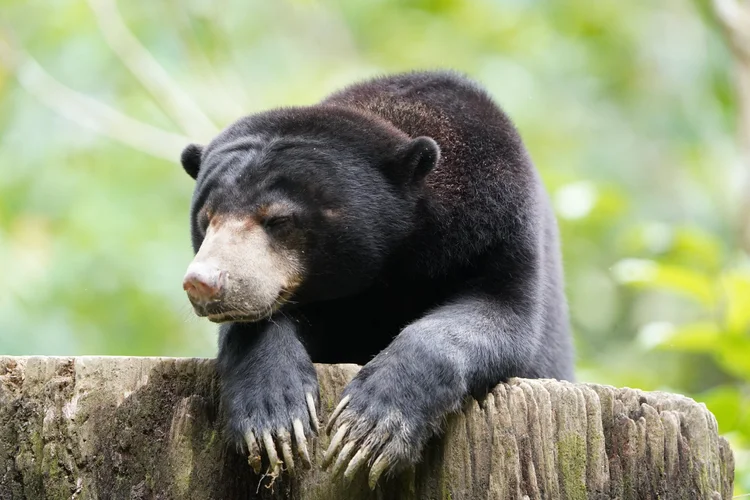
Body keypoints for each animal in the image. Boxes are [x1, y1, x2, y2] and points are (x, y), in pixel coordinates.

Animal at [179, 70, 574, 488]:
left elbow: (502, 317)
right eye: (206, 219)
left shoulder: (500, 231)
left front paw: (368, 428)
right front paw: (275, 420)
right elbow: (256, 327)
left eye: (279, 220)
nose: (203, 283)